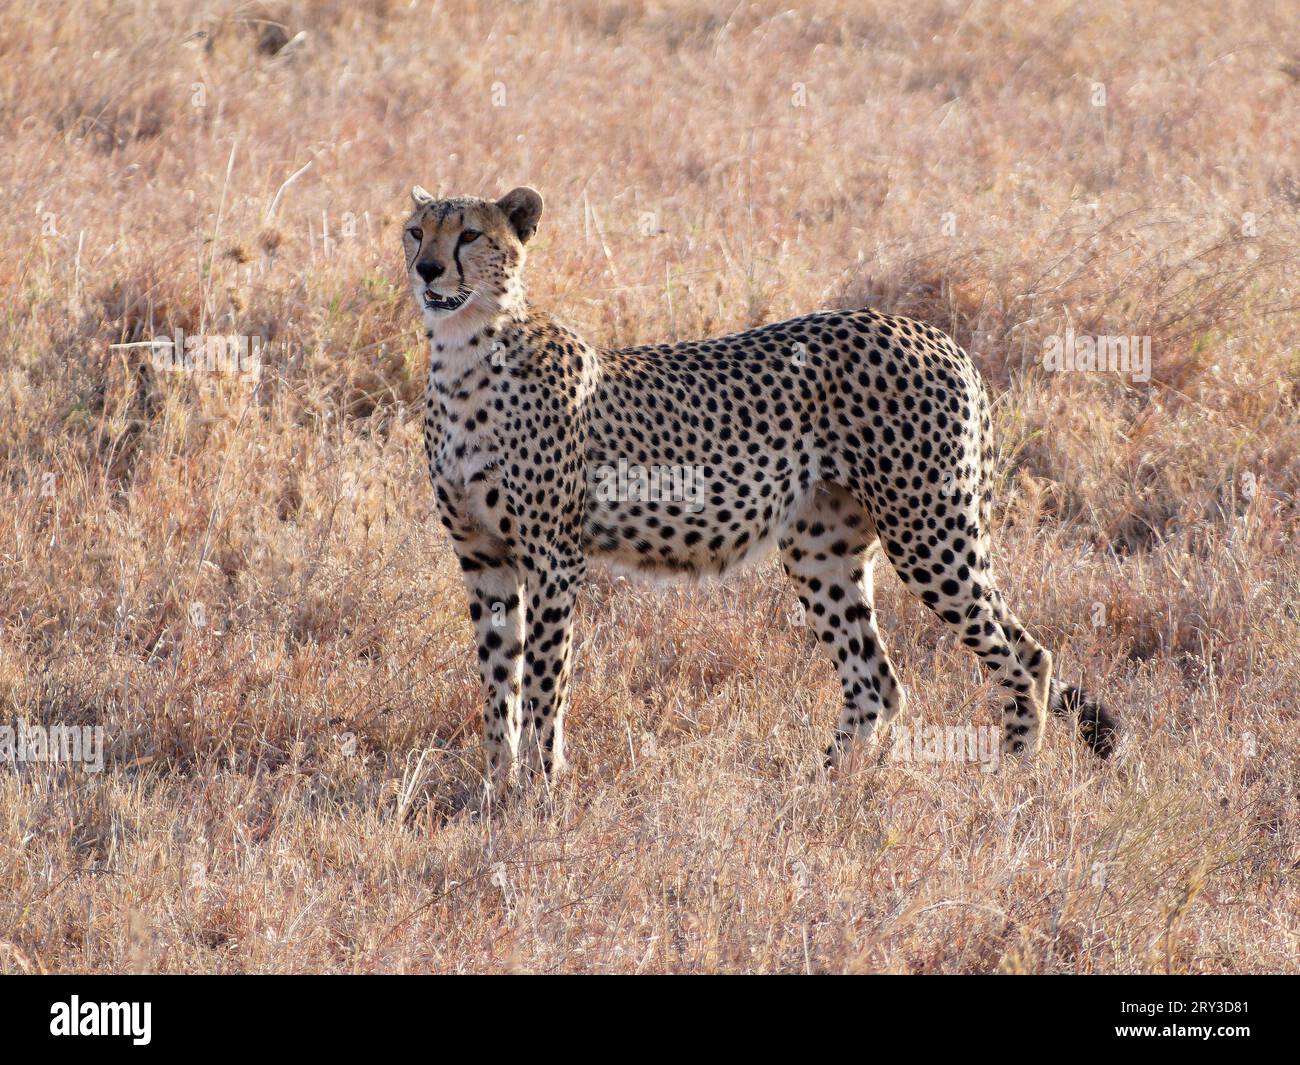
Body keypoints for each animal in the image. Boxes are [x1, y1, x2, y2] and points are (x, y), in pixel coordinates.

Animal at [403, 184, 1119, 791]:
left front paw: (540, 791)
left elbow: (543, 683)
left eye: (469, 234)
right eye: (415, 231)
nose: (428, 269)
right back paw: (819, 786)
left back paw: (1012, 778)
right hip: (822, 550)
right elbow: (498, 682)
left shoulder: (554, 556)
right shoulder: (484, 559)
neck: (466, 355)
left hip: (927, 533)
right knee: (877, 682)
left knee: (1025, 656)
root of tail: (935, 334)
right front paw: (497, 787)